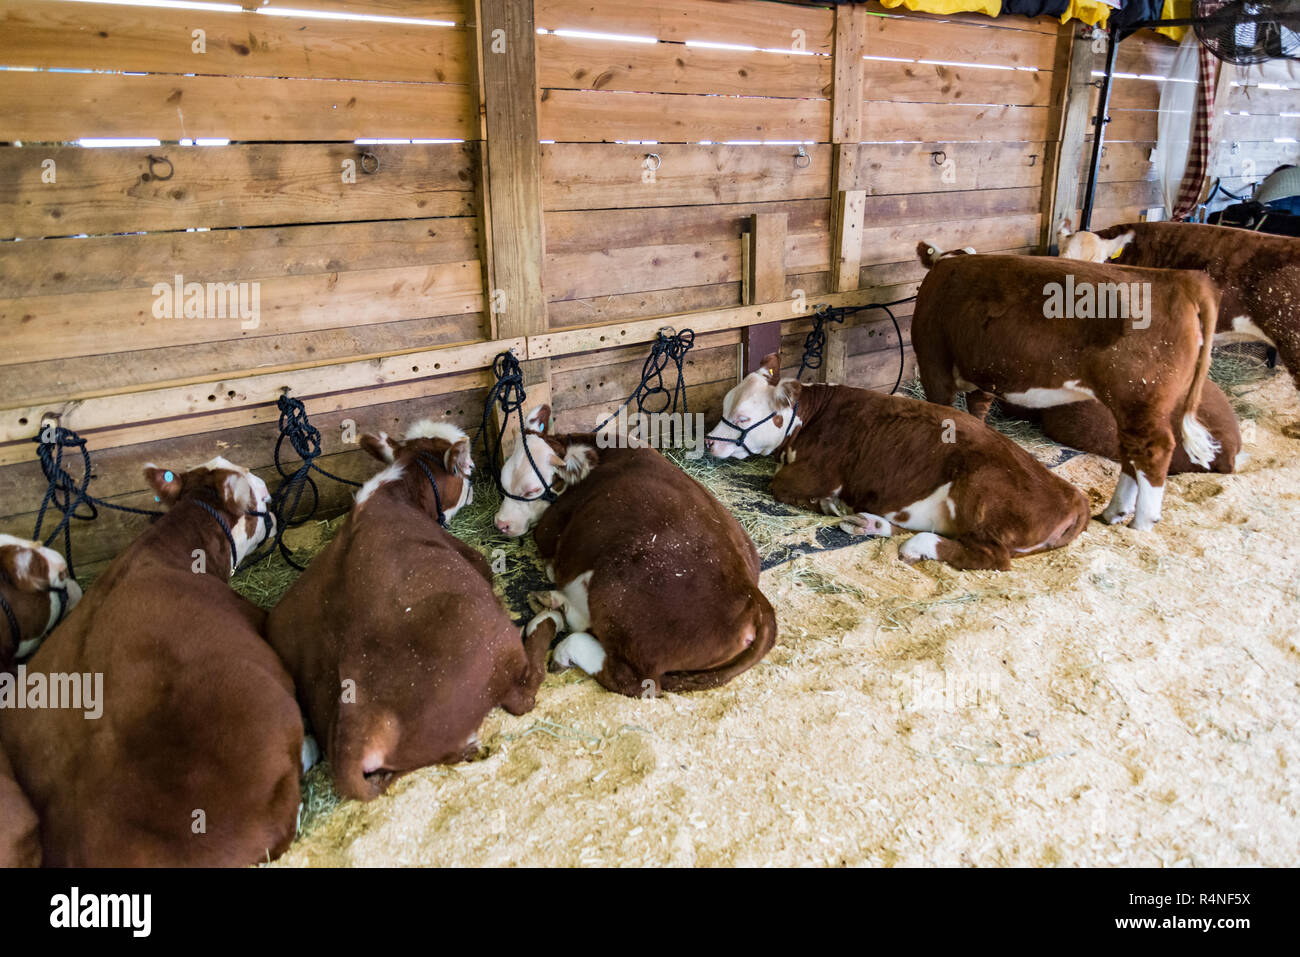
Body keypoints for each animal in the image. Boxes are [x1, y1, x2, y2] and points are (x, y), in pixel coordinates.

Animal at [267, 421, 552, 802]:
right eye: (468, 468)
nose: (474, 486)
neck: (395, 489)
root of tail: (356, 717)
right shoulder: (473, 559)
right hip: (494, 637)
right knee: (523, 694)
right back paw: (543, 628)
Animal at [494, 406, 777, 697]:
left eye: (532, 490)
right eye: (502, 481)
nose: (500, 523)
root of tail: (755, 600)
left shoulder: (551, 528)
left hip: (614, 589)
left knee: (628, 677)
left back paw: (564, 645)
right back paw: (552, 602)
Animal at [705, 355, 1090, 570]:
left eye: (741, 417)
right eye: (724, 407)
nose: (709, 441)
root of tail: (1073, 496)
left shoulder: (817, 474)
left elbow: (781, 485)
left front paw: (829, 503)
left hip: (983, 490)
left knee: (992, 556)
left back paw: (914, 546)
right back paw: (868, 524)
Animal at [912, 245, 1219, 531]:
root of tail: (1181, 279)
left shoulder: (933, 366)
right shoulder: (981, 378)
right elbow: (976, 417)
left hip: (1140, 398)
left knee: (1153, 451)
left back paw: (1141, 522)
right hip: (1133, 407)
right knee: (1131, 450)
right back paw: (1114, 512)